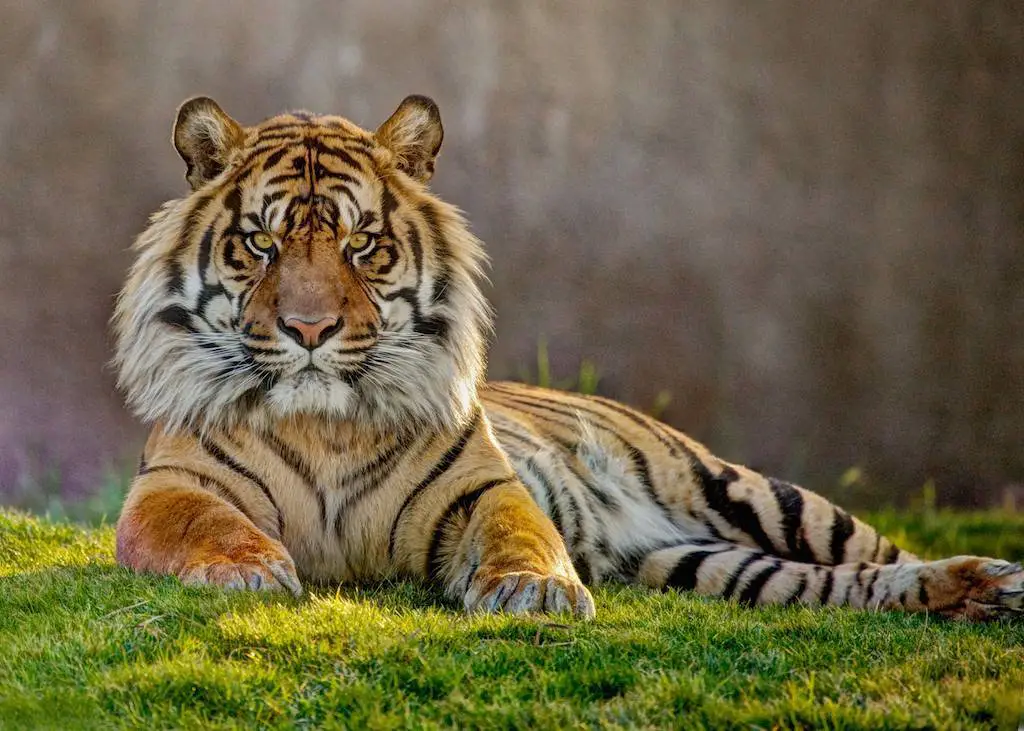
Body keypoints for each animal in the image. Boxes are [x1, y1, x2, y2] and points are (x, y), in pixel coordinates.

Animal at [112, 94, 1024, 622]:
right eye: (262, 244)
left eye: (361, 242)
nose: (310, 330)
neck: (323, 424)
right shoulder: (168, 487)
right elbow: (205, 522)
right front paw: (247, 572)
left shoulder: (482, 486)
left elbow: (521, 529)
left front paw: (538, 590)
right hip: (698, 564)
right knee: (844, 586)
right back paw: (971, 593)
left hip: (756, 493)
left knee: (878, 553)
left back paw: (995, 577)